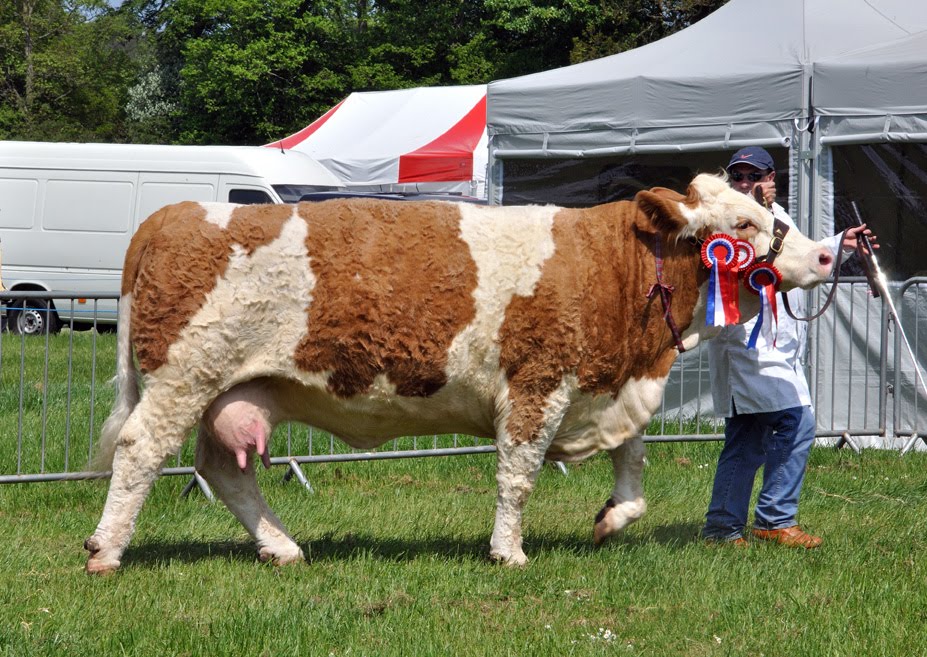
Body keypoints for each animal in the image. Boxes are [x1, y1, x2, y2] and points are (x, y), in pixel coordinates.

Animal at [83, 173, 834, 573]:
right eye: (745, 222)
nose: (827, 255)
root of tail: (174, 212)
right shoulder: (539, 383)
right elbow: (517, 474)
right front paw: (508, 551)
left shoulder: (603, 385)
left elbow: (634, 459)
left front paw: (612, 517)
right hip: (184, 377)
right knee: (142, 450)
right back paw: (105, 551)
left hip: (239, 389)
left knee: (224, 469)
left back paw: (282, 546)